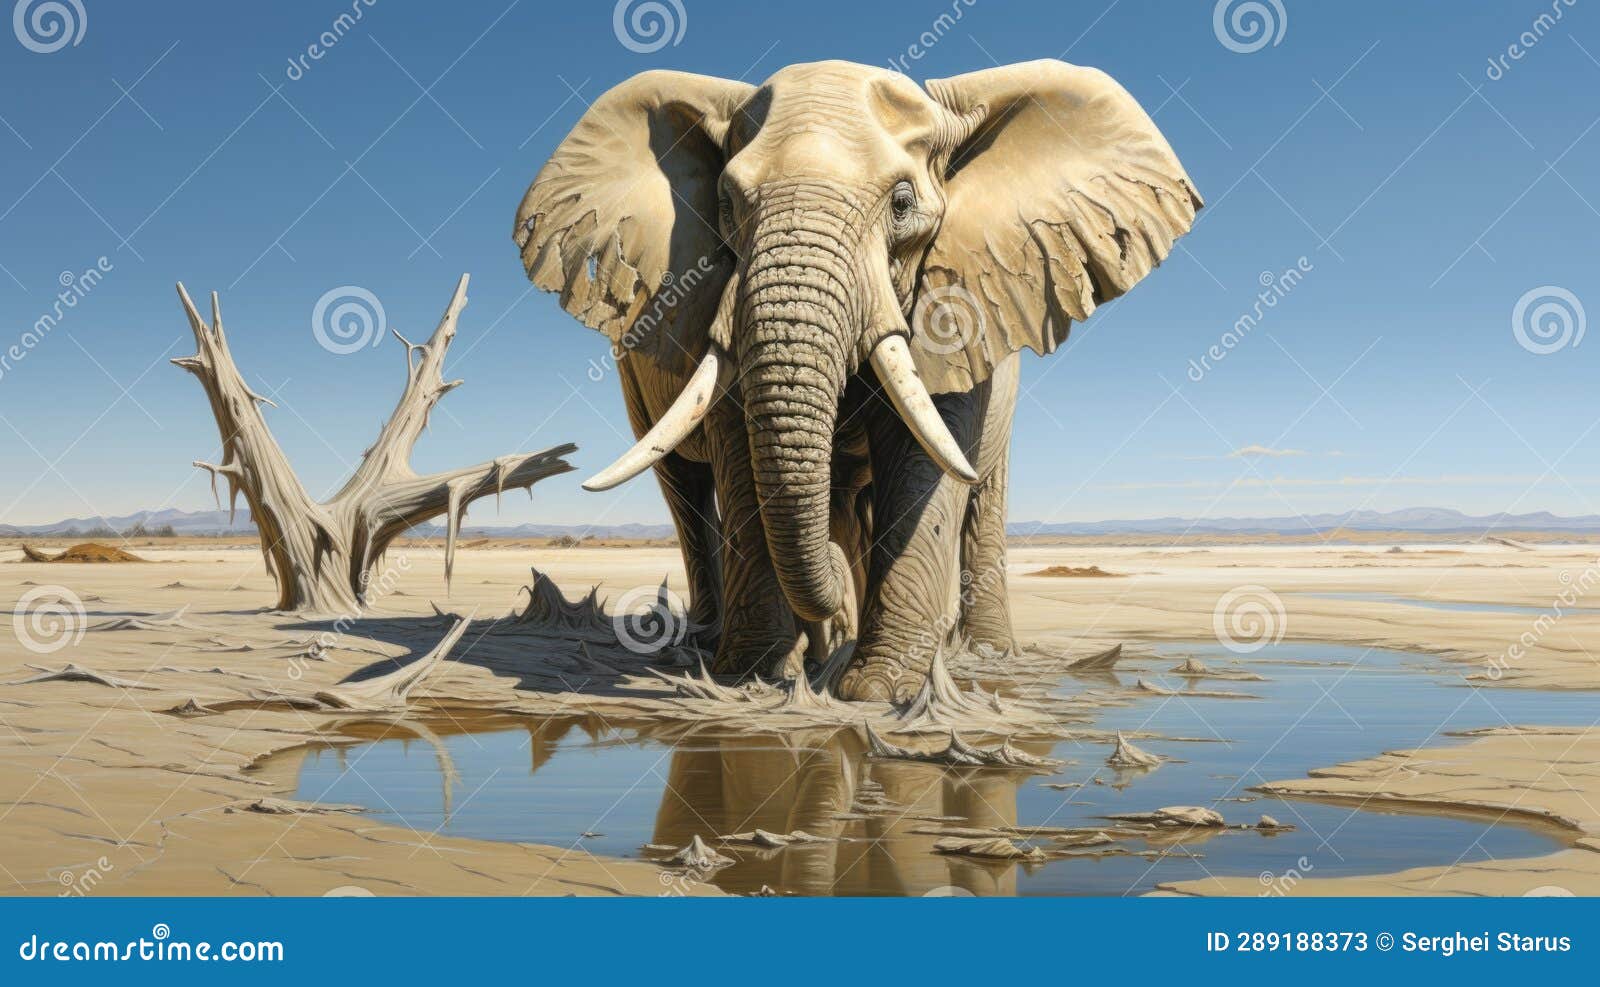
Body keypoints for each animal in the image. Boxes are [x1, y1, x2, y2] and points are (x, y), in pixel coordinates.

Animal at [513, 59, 1200, 701]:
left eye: (901, 203)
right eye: (727, 205)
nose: (825, 627)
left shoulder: (959, 305)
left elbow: (927, 460)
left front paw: (877, 691)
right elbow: (739, 455)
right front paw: (755, 677)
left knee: (978, 487)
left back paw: (979, 655)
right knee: (687, 485)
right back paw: (730, 644)